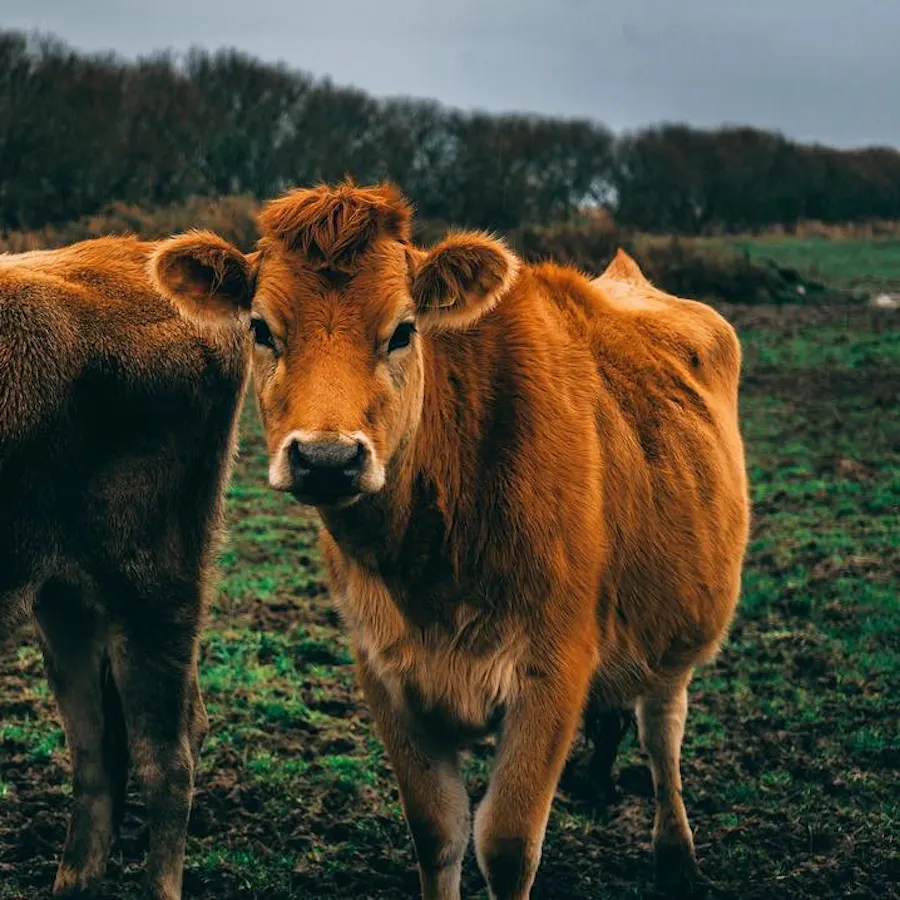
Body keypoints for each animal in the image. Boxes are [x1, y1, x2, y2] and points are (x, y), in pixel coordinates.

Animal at [151, 182, 750, 900]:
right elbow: (438, 833)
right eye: (262, 329)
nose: (327, 460)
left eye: (403, 330)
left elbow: (508, 845)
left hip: (678, 631)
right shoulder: (387, 674)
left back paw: (677, 858)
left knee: (662, 731)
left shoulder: (553, 671)